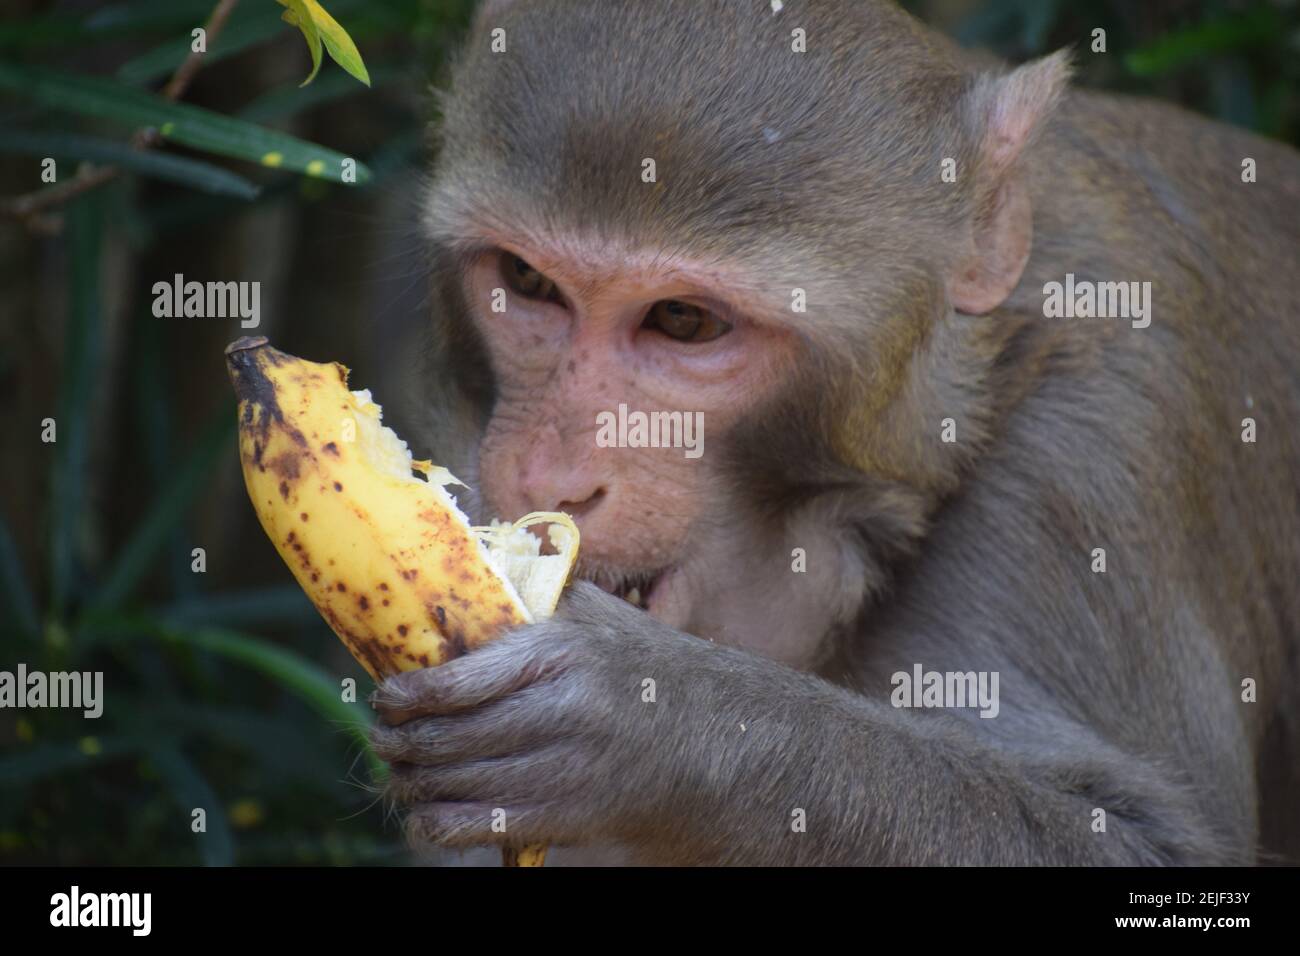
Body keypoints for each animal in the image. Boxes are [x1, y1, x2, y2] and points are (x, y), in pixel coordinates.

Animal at [368, 0, 1300, 865]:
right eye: (528, 282)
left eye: (684, 321)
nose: (546, 475)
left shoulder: (1093, 446)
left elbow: (1142, 838)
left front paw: (646, 718)